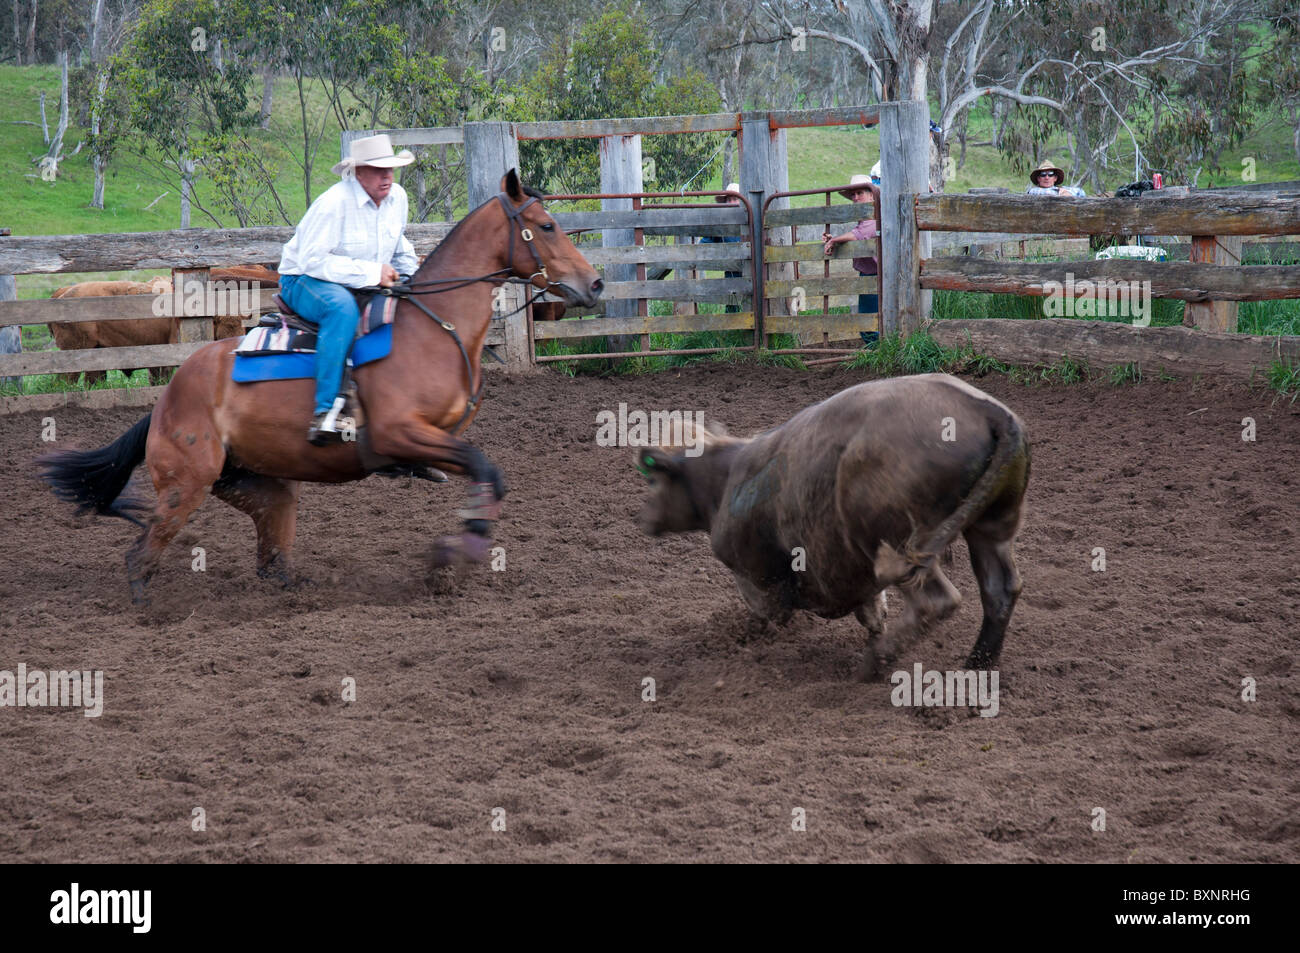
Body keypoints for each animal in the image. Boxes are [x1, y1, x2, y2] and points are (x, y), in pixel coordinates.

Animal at [635, 373, 1030, 679]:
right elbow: (872, 610)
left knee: (935, 602)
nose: (644, 519)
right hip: (991, 527)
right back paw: (976, 666)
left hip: (895, 543)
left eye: (653, 481)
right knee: (999, 590)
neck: (726, 477)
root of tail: (986, 410)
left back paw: (872, 666)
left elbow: (766, 615)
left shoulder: (756, 576)